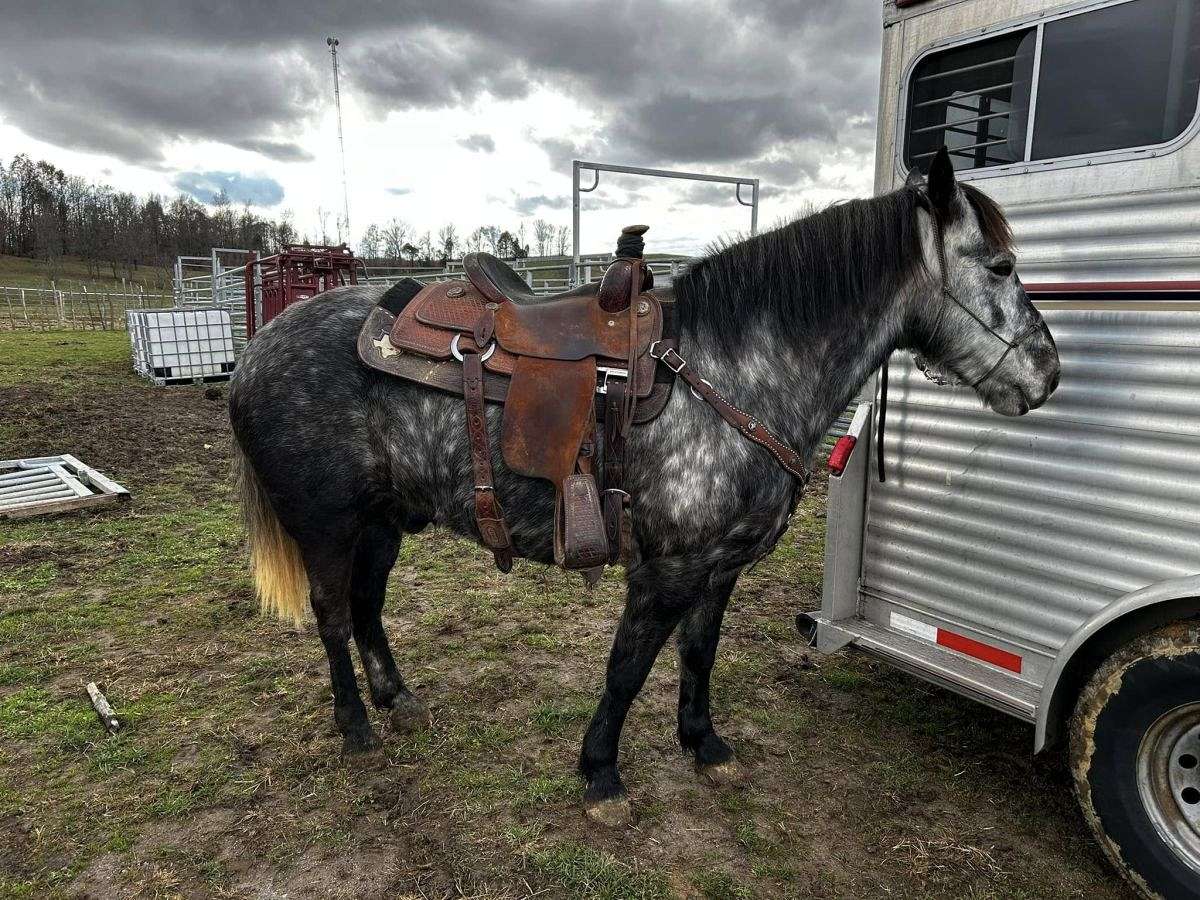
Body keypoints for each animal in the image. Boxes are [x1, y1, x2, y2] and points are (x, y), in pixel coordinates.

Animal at [229, 148, 1060, 826]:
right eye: (999, 266)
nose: (1048, 372)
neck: (736, 374)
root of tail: (259, 348)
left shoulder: (719, 569)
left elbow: (699, 654)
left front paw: (705, 744)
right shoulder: (667, 570)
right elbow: (627, 669)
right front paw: (601, 776)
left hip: (384, 520)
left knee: (368, 606)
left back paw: (398, 701)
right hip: (327, 524)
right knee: (334, 614)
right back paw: (356, 726)